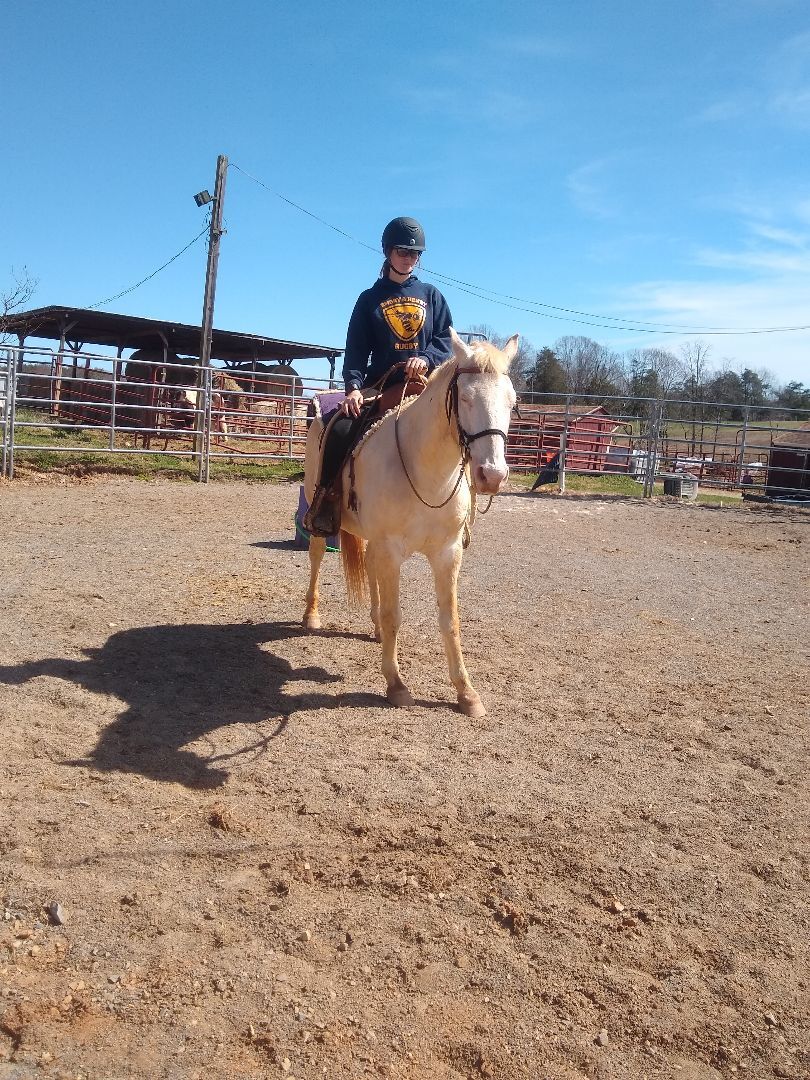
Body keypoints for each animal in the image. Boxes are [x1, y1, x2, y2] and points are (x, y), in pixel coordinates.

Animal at [302, 327, 518, 718]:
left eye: (511, 402)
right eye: (465, 397)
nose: (492, 476)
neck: (426, 472)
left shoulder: (447, 554)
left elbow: (450, 621)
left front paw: (466, 693)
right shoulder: (391, 550)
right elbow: (394, 615)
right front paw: (397, 684)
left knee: (369, 568)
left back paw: (373, 628)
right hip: (318, 514)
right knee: (316, 556)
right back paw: (311, 616)